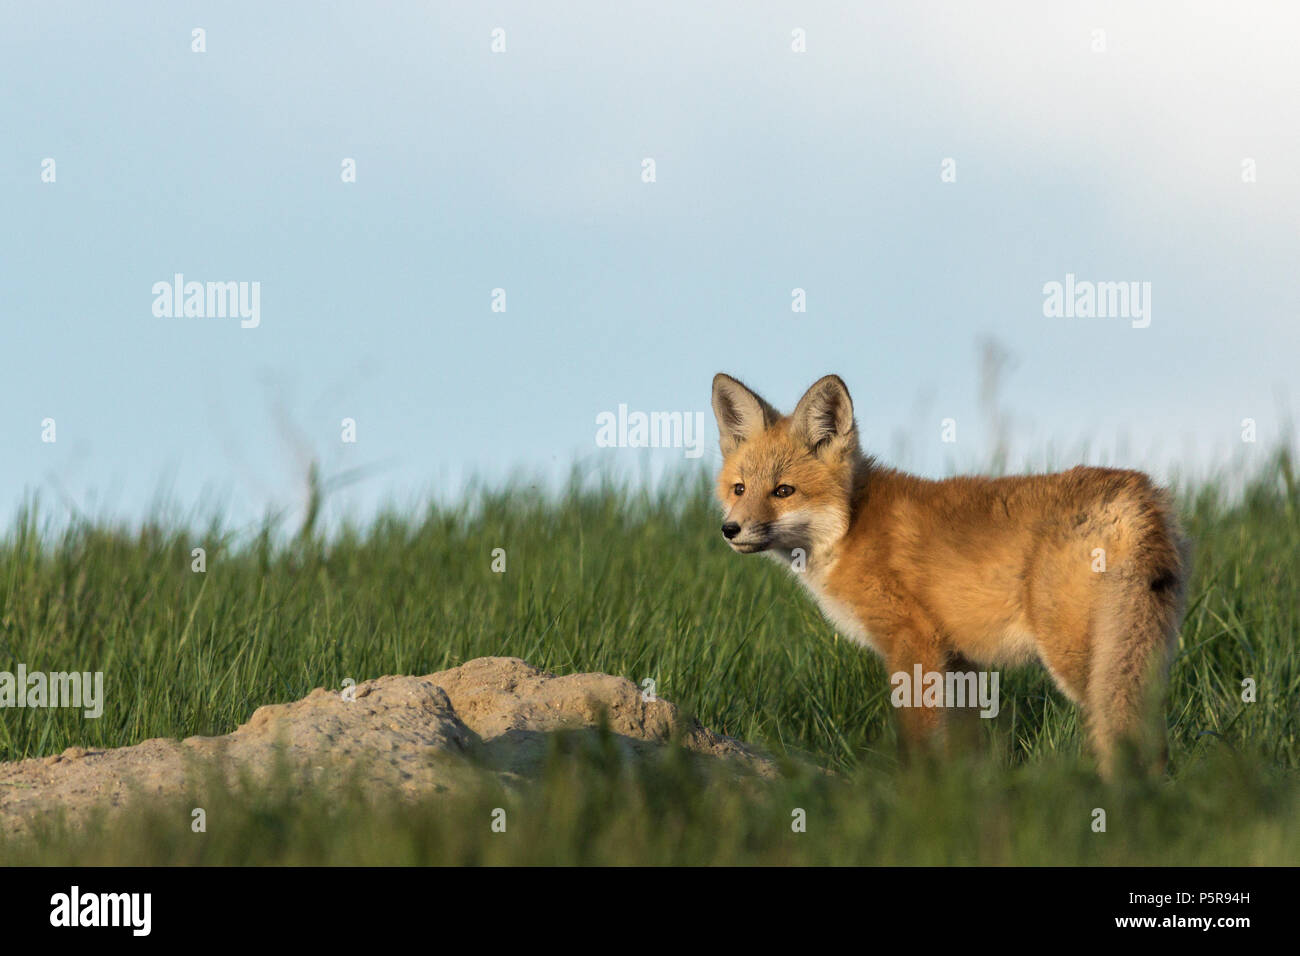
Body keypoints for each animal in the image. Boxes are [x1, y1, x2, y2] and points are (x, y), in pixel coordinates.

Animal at [711, 372, 1190, 778]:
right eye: (739, 489)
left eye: (783, 491)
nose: (730, 530)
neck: (850, 523)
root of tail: (1140, 490)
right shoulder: (959, 662)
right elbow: (964, 754)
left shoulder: (913, 641)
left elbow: (917, 746)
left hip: (1079, 656)